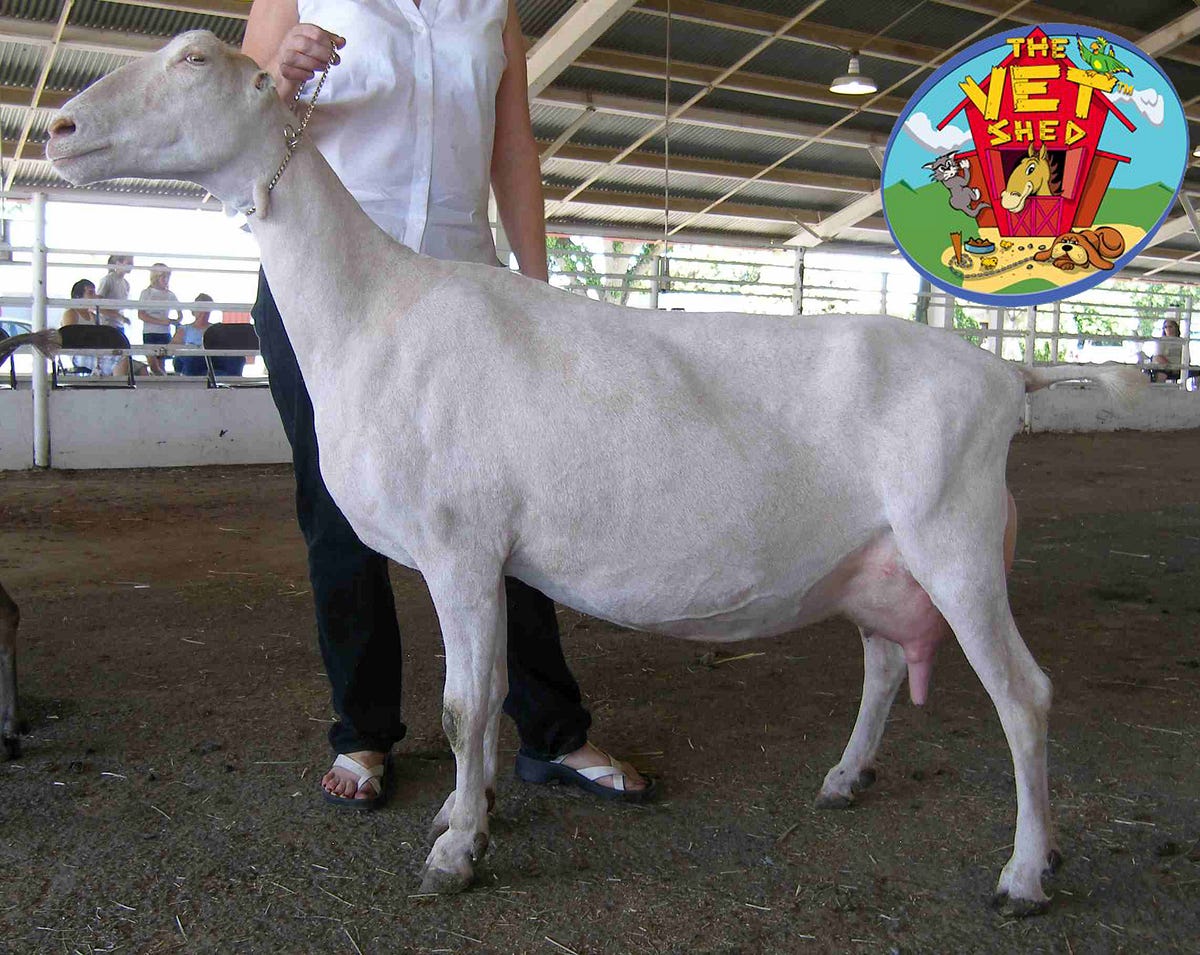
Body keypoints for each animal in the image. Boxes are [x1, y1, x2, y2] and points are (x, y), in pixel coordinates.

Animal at [45, 33, 1145, 911]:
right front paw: (464, 812)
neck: (375, 310)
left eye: (193, 58)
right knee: (883, 660)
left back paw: (1025, 874)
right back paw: (847, 777)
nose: (56, 127)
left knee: (1025, 696)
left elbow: (467, 706)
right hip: (881, 557)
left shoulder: (460, 543)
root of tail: (1003, 373)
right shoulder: (480, 557)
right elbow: (475, 706)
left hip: (956, 539)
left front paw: (457, 850)